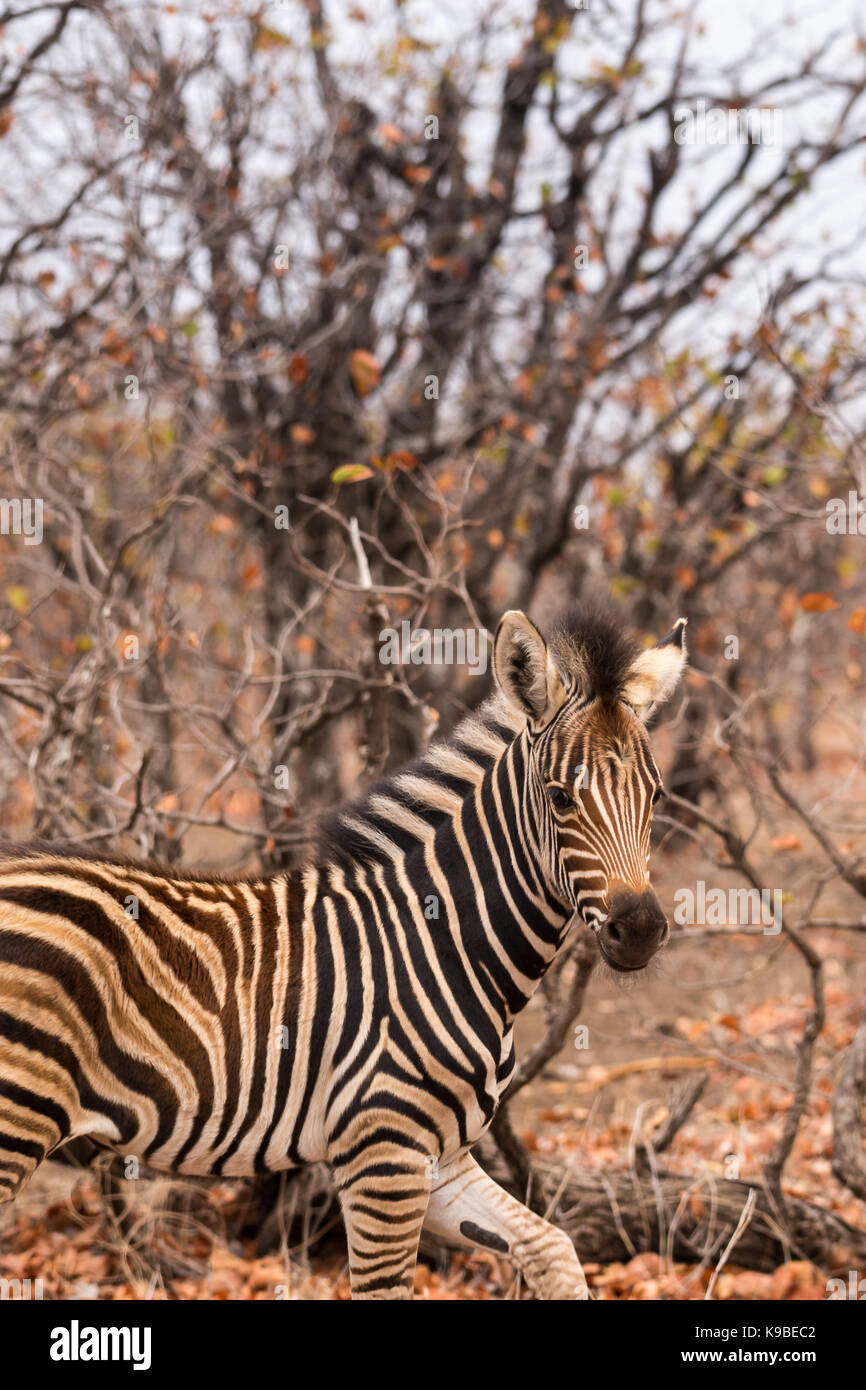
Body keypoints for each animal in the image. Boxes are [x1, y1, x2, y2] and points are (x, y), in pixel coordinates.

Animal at [0, 606, 686, 1299]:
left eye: (656, 797)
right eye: (560, 797)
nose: (640, 930)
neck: (447, 945)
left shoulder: (440, 1157)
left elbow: (552, 1247)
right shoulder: (381, 1154)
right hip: (15, 1120)